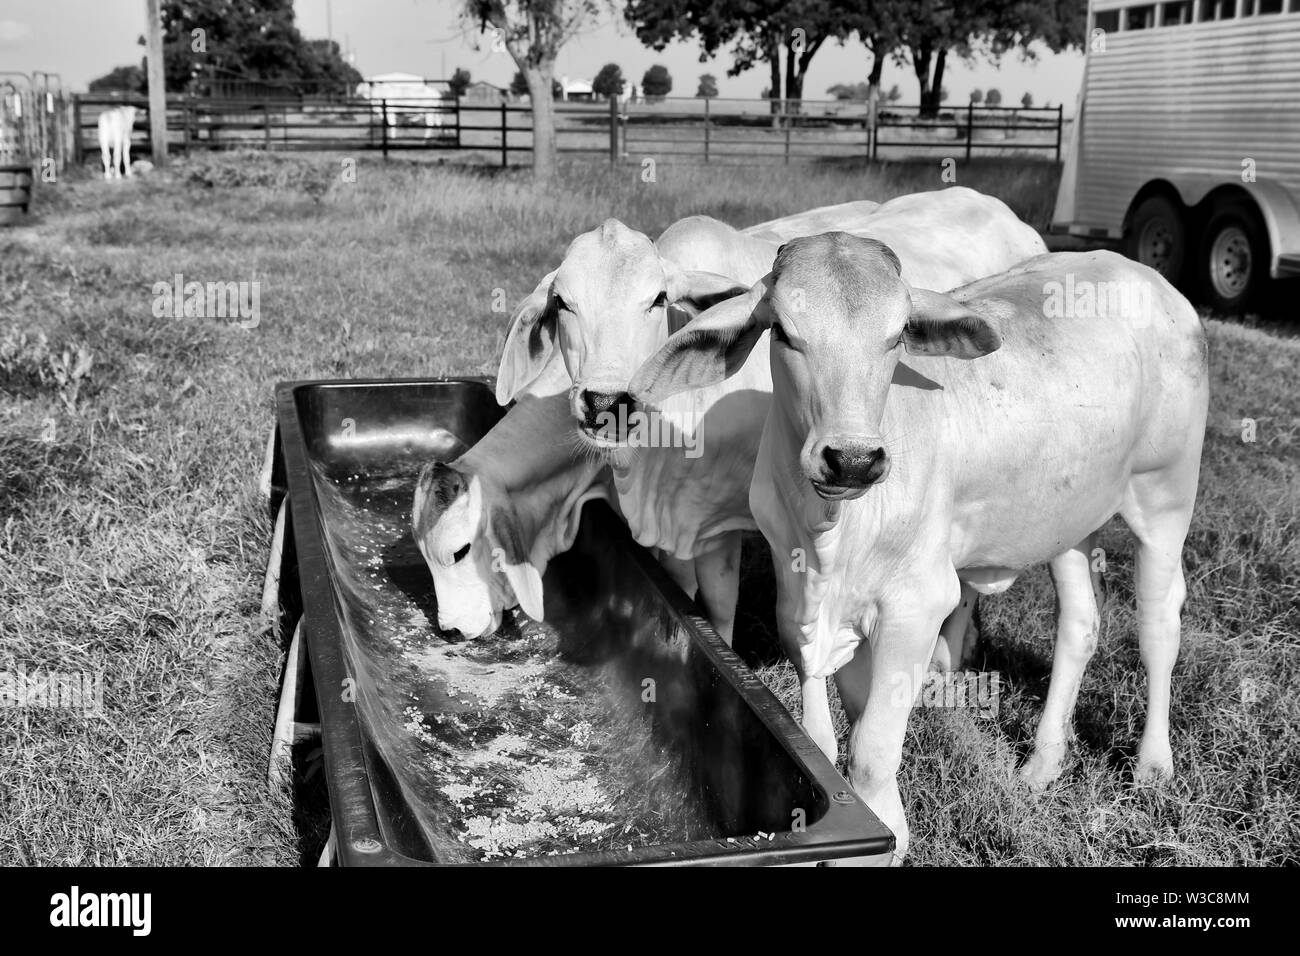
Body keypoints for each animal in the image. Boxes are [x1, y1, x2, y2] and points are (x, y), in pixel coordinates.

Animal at [628, 238, 1209, 863]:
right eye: (783, 331)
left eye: (898, 334)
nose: (852, 459)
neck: (830, 529)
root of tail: (1147, 277)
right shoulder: (798, 601)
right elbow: (826, 737)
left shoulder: (915, 607)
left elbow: (872, 750)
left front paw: (890, 840)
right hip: (1072, 524)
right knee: (1079, 624)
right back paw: (1042, 763)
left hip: (1166, 497)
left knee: (1158, 626)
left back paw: (1152, 764)